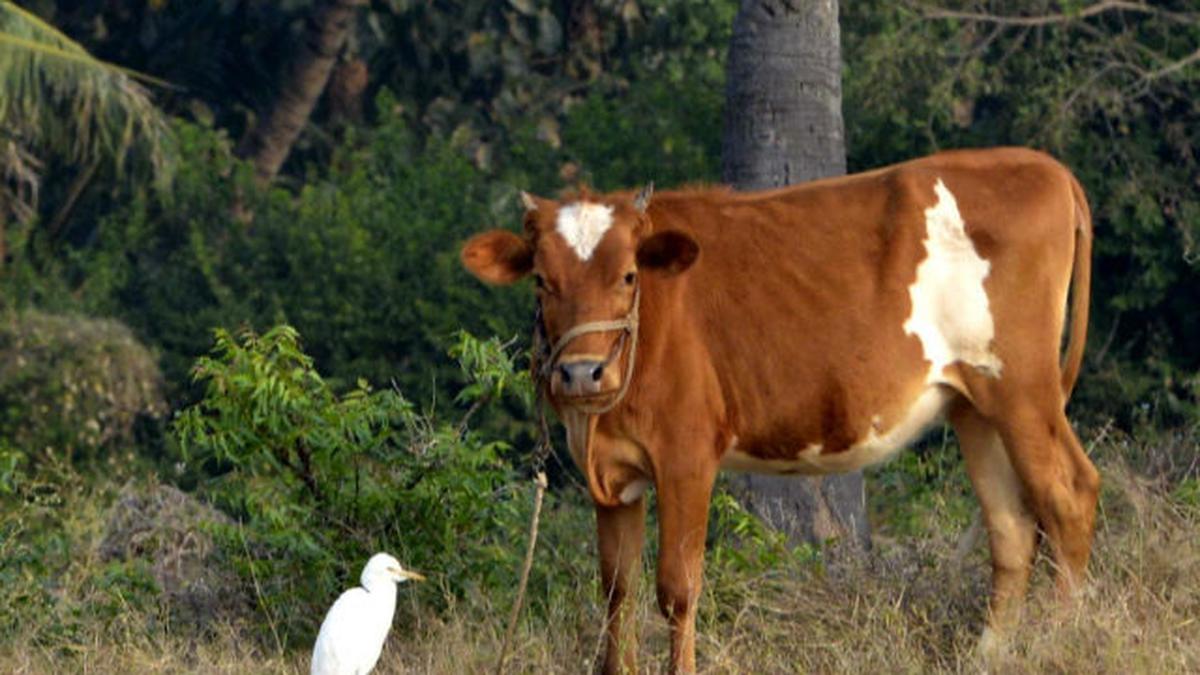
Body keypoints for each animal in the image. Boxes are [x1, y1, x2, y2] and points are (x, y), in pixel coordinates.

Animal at [461, 147, 1098, 674]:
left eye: (628, 276)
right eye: (542, 282)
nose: (581, 372)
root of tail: (1041, 164)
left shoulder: (687, 455)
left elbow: (678, 587)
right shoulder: (613, 475)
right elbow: (619, 590)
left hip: (1022, 387)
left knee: (1068, 496)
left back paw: (1059, 641)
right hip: (975, 406)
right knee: (1011, 527)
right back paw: (989, 655)